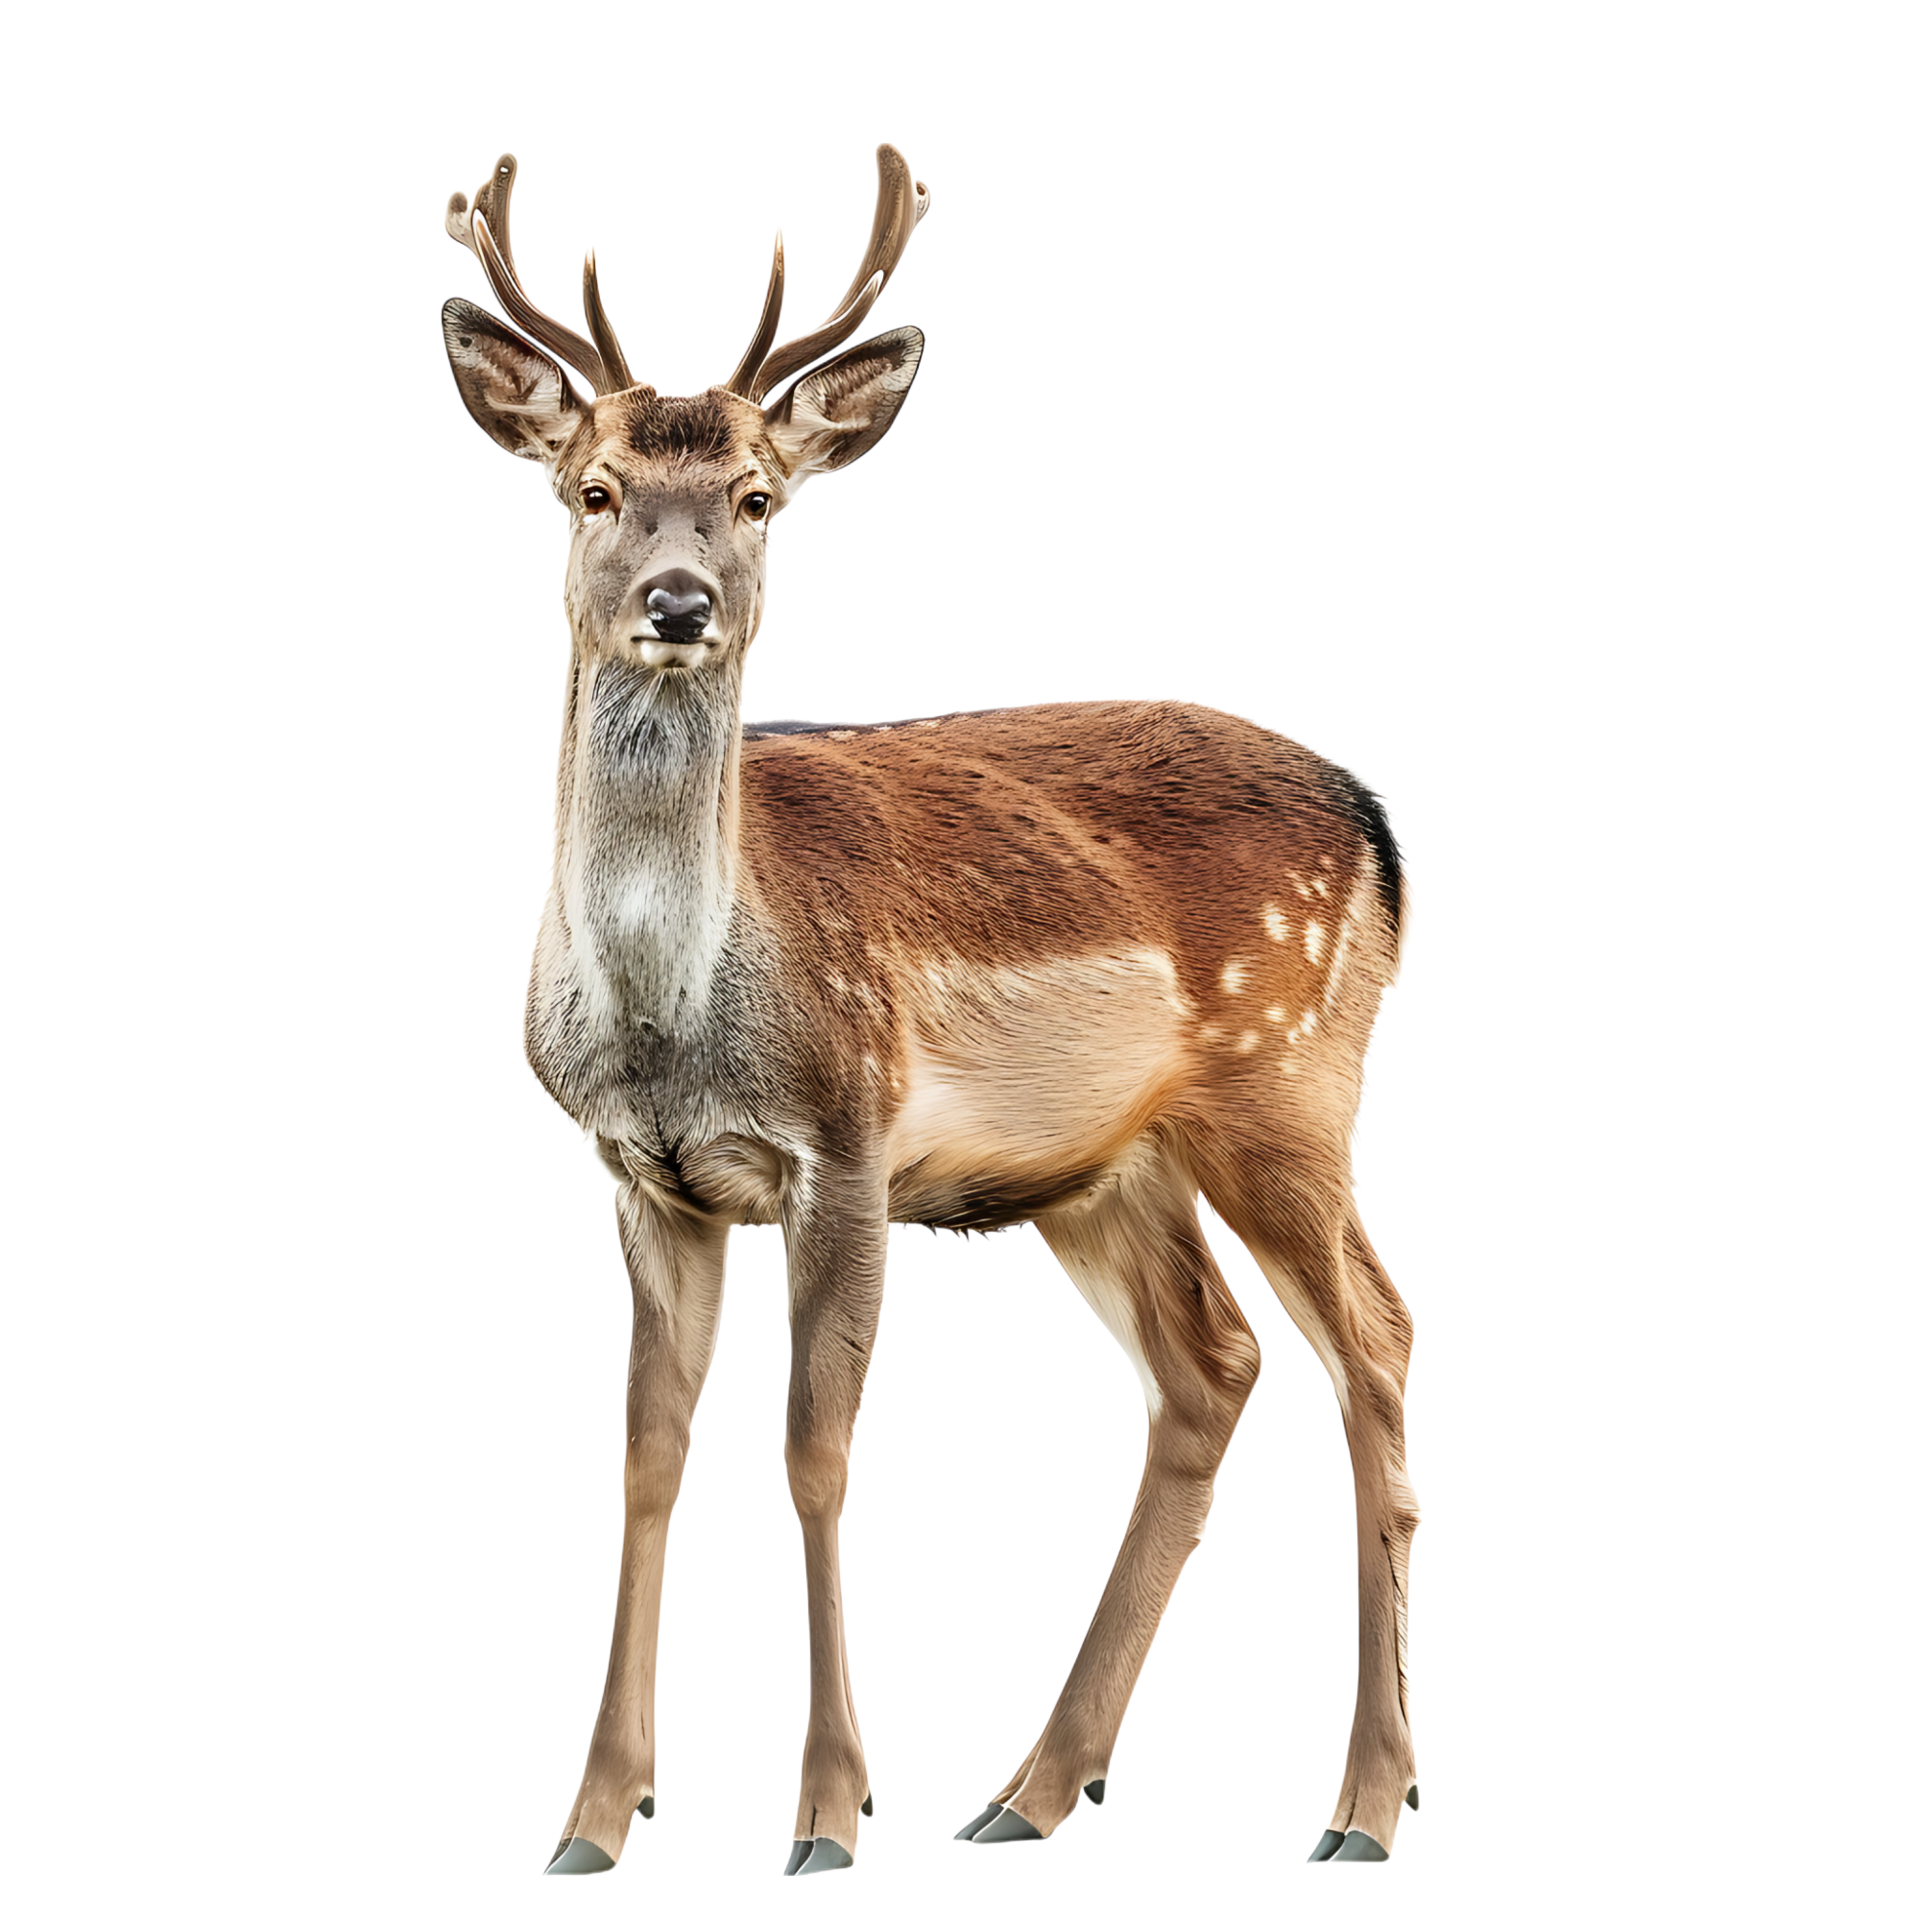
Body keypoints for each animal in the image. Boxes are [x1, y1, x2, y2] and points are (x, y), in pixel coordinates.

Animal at [438, 141, 1421, 1877]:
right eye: (594, 489)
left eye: (759, 498)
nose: (679, 600)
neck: (678, 1014)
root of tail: (1382, 826)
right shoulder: (642, 1178)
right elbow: (646, 1457)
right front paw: (594, 1818)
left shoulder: (846, 1139)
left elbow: (814, 1450)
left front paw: (827, 1815)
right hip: (1108, 1170)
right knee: (1212, 1364)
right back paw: (1027, 1791)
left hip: (1291, 1084)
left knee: (1376, 1342)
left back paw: (1361, 1811)